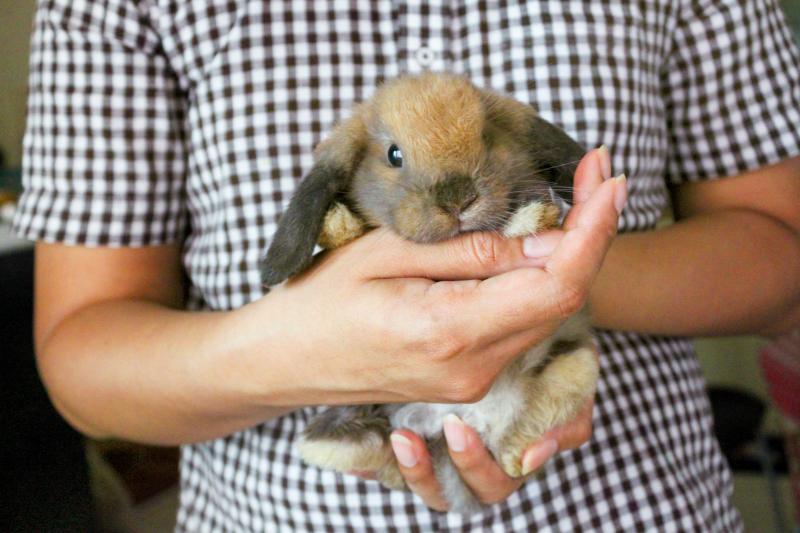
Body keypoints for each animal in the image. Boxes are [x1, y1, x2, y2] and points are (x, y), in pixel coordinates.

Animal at [259, 73, 598, 514]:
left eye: (487, 136)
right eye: (394, 155)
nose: (458, 199)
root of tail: (464, 420)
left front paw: (531, 217)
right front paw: (336, 222)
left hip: (578, 365)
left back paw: (515, 457)